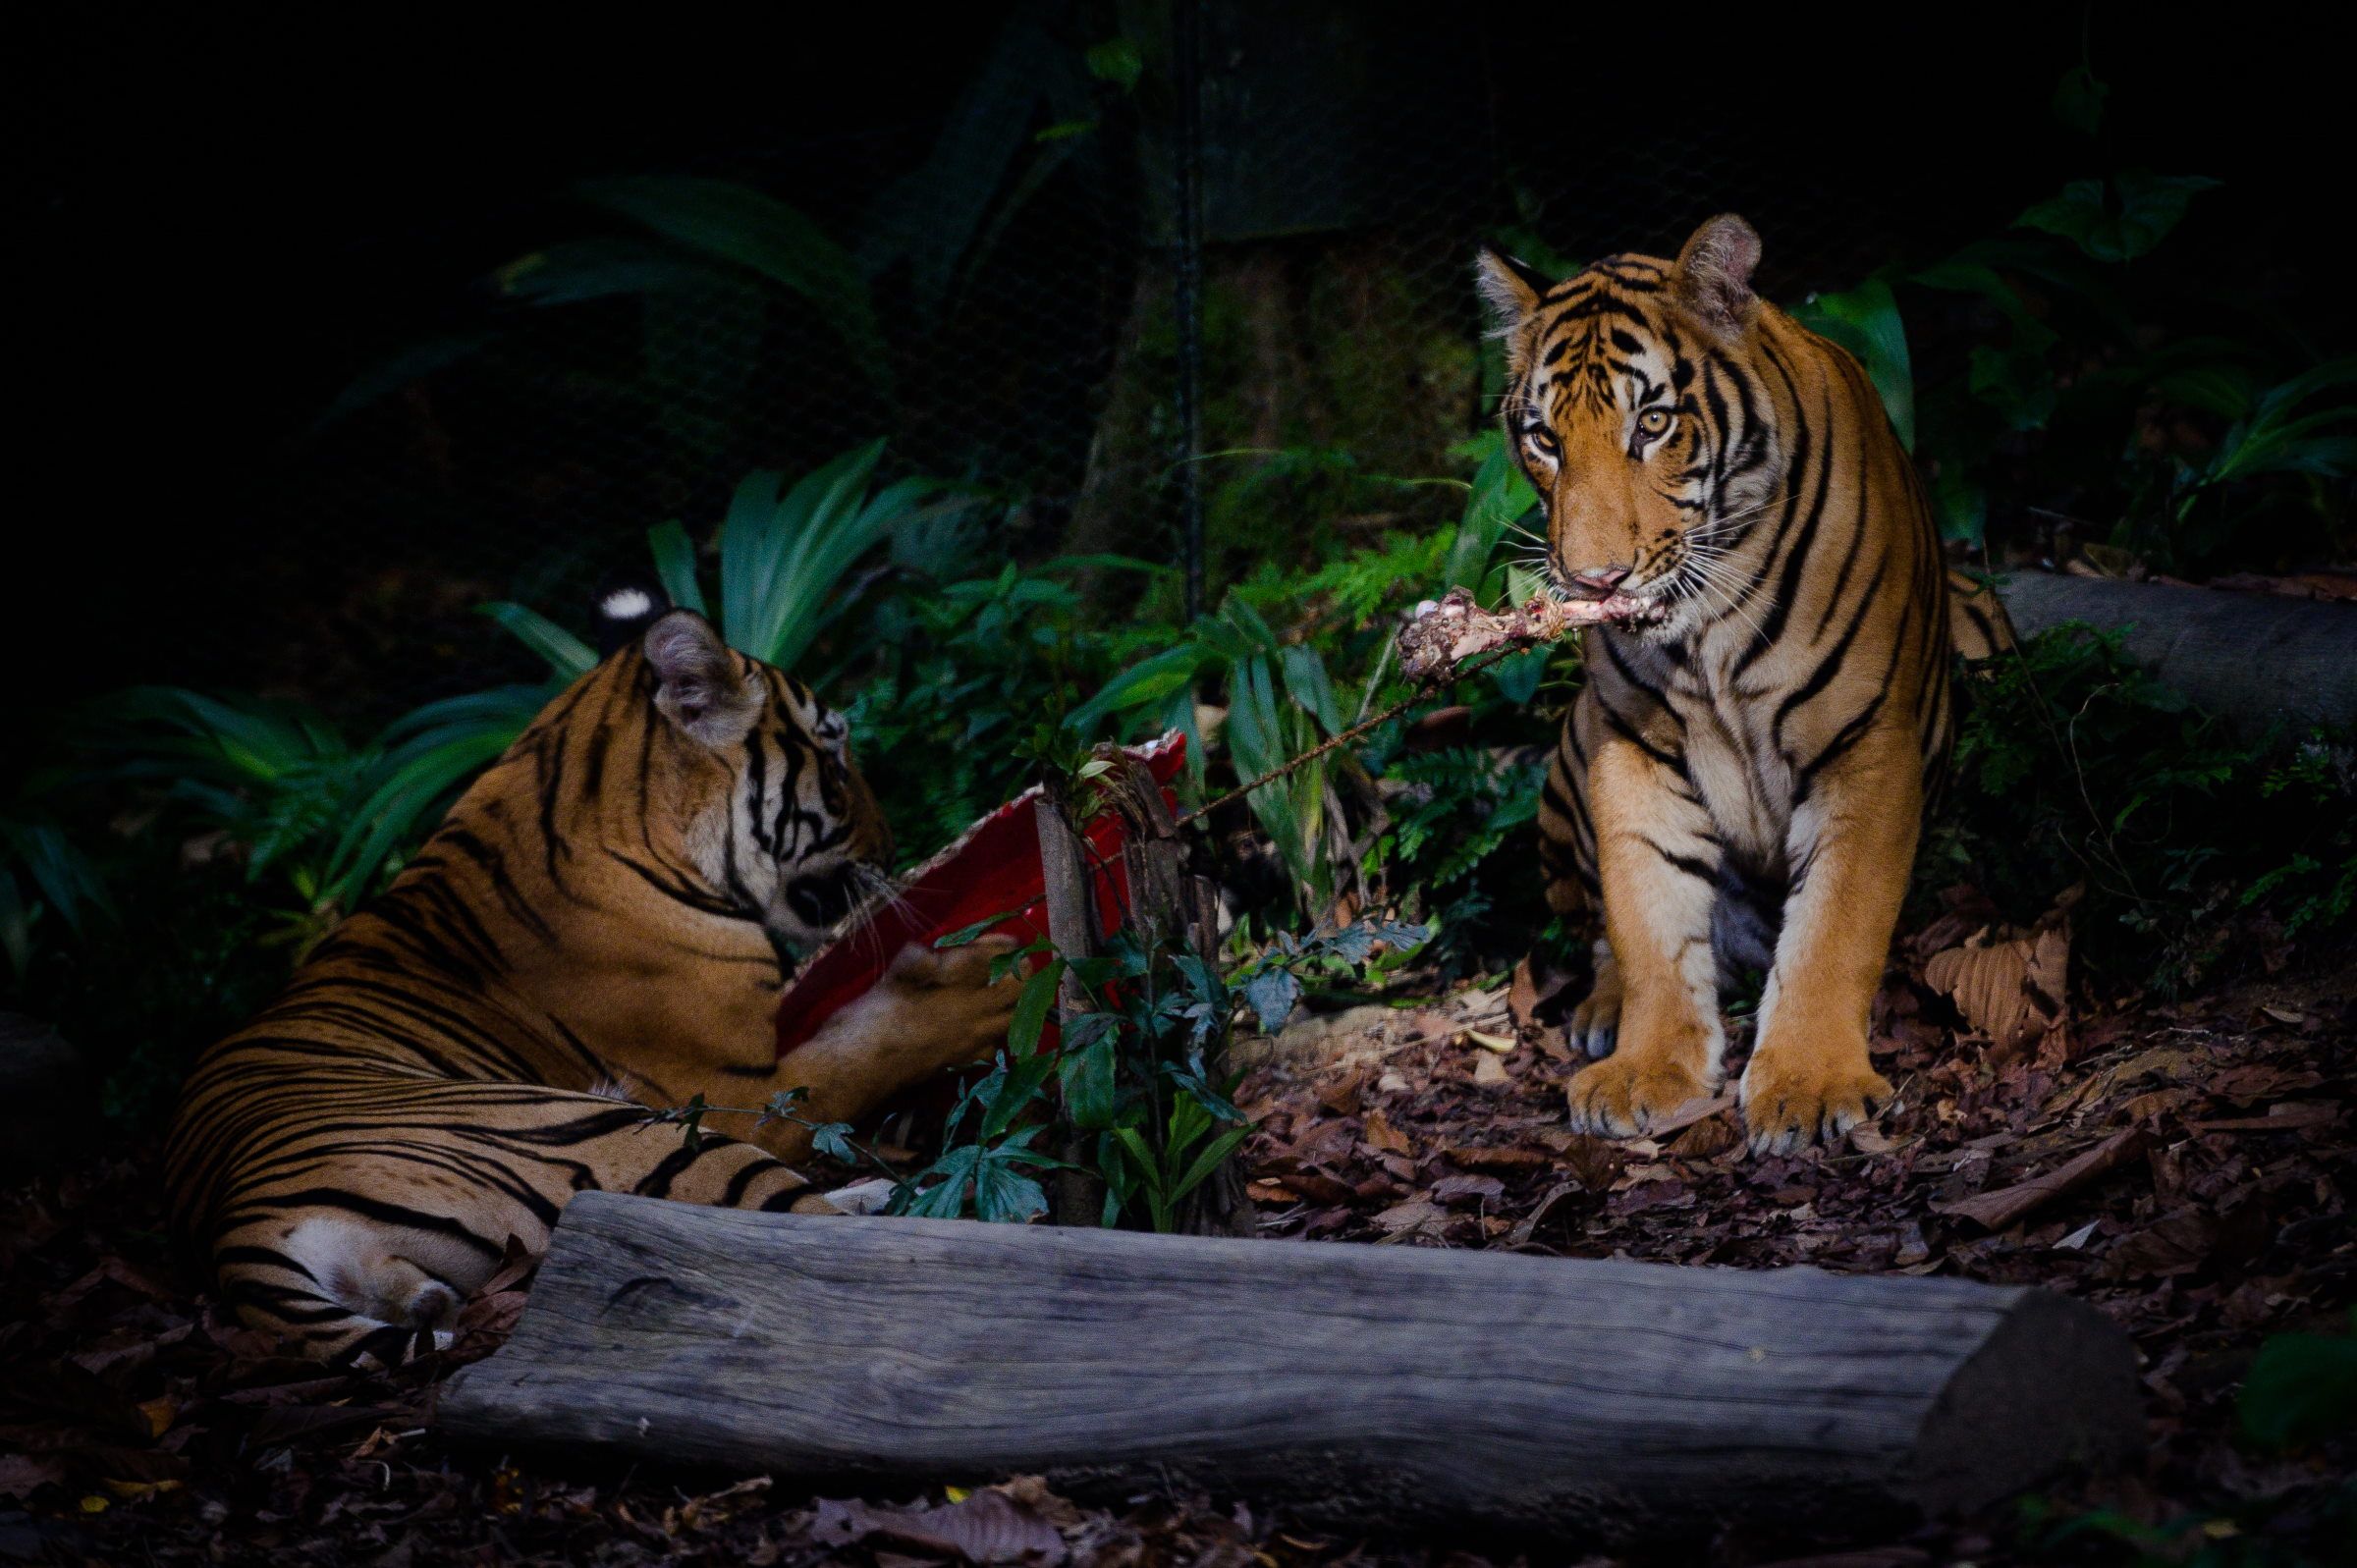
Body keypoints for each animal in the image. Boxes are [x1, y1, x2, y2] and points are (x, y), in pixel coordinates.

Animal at [163, 599, 1019, 1364]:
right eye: (835, 758)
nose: (893, 844)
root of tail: (242, 1232)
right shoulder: (744, 1086)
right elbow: (873, 1042)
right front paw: (989, 983)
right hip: (632, 1132)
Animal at [1476, 214, 2012, 1156]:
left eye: (1653, 423)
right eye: (1544, 438)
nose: (1595, 579)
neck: (1704, 633)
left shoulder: (1866, 745)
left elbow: (1837, 924)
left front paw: (1809, 1085)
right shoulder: (1629, 744)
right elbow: (1646, 915)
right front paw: (1650, 1068)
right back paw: (1602, 1014)